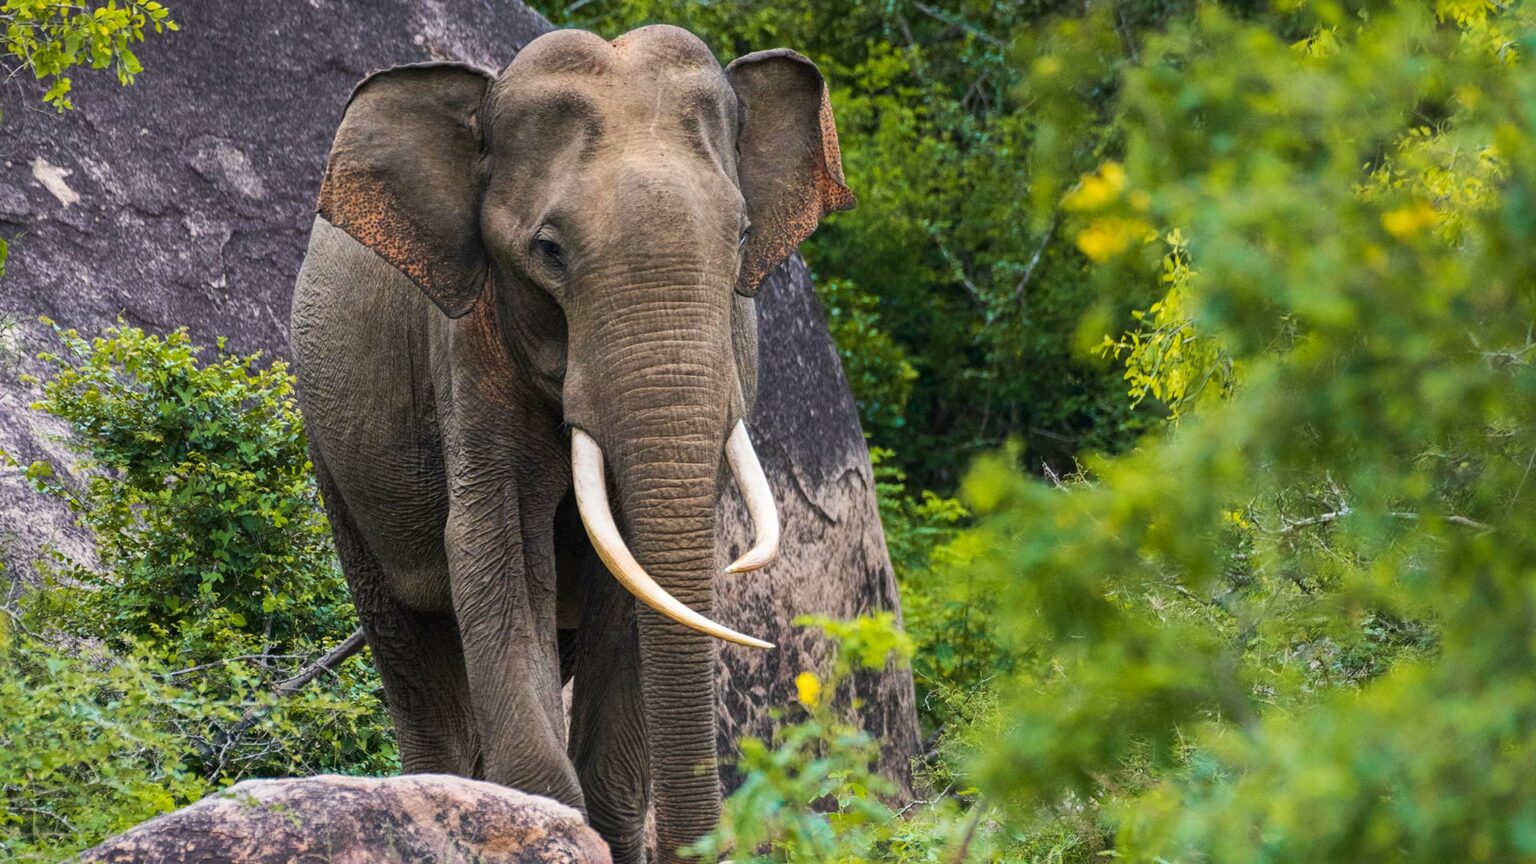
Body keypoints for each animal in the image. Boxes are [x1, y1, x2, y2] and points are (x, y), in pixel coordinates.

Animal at [290, 24, 853, 864]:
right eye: (549, 250)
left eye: (745, 235)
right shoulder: (470, 351)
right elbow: (497, 552)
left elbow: (631, 588)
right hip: (332, 446)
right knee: (412, 651)